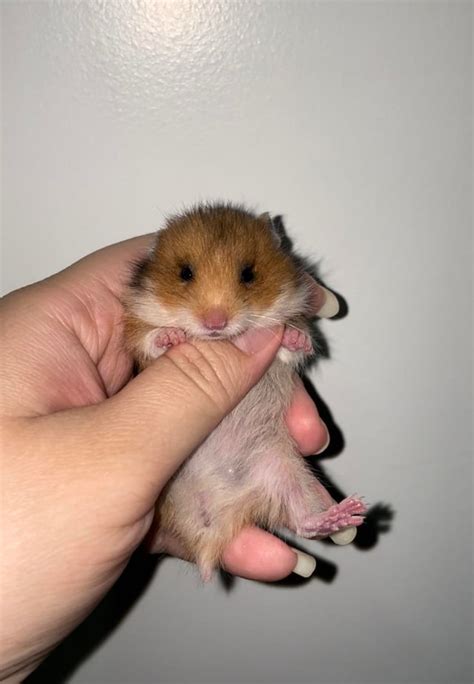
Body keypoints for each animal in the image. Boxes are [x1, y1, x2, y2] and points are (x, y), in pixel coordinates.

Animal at [123, 203, 366, 580]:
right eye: (185, 273)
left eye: (249, 274)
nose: (215, 323)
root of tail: (211, 524)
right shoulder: (135, 332)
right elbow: (148, 338)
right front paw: (173, 337)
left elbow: (293, 344)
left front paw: (291, 337)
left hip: (284, 470)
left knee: (304, 522)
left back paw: (345, 513)